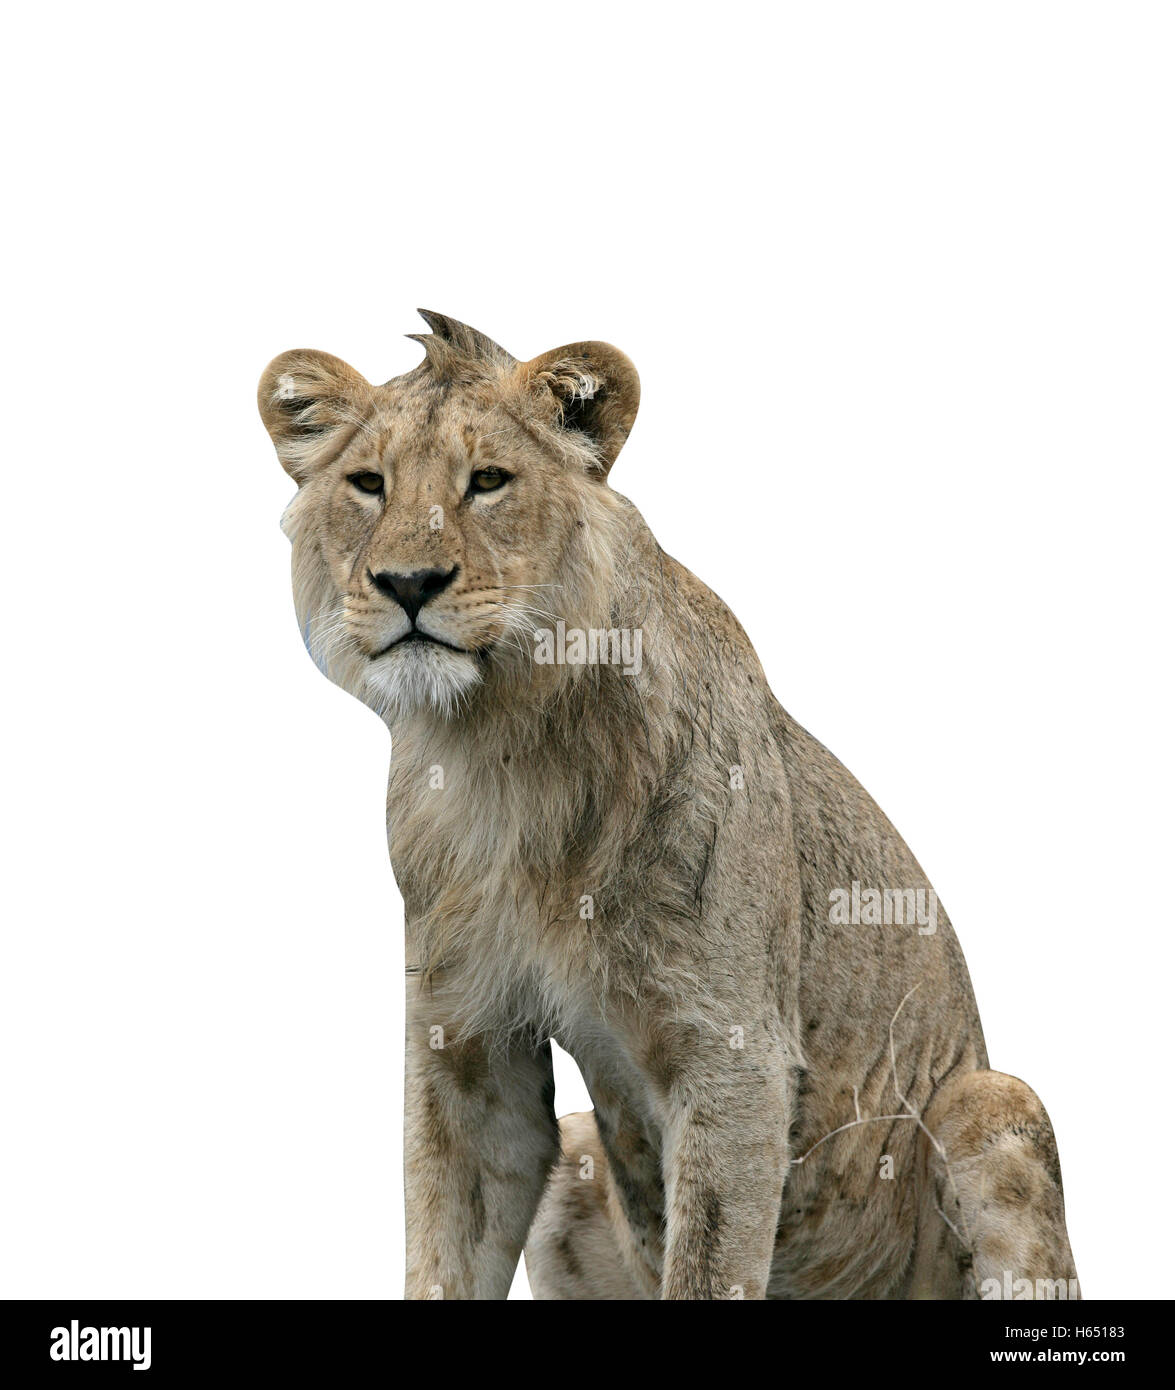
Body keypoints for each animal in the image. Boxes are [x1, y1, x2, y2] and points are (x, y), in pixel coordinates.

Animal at [258, 311, 1079, 1300]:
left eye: (487, 481)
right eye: (368, 484)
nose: (408, 583)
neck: (499, 747)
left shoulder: (734, 1055)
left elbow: (708, 1261)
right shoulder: (465, 1044)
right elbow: (444, 1246)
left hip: (987, 1100)